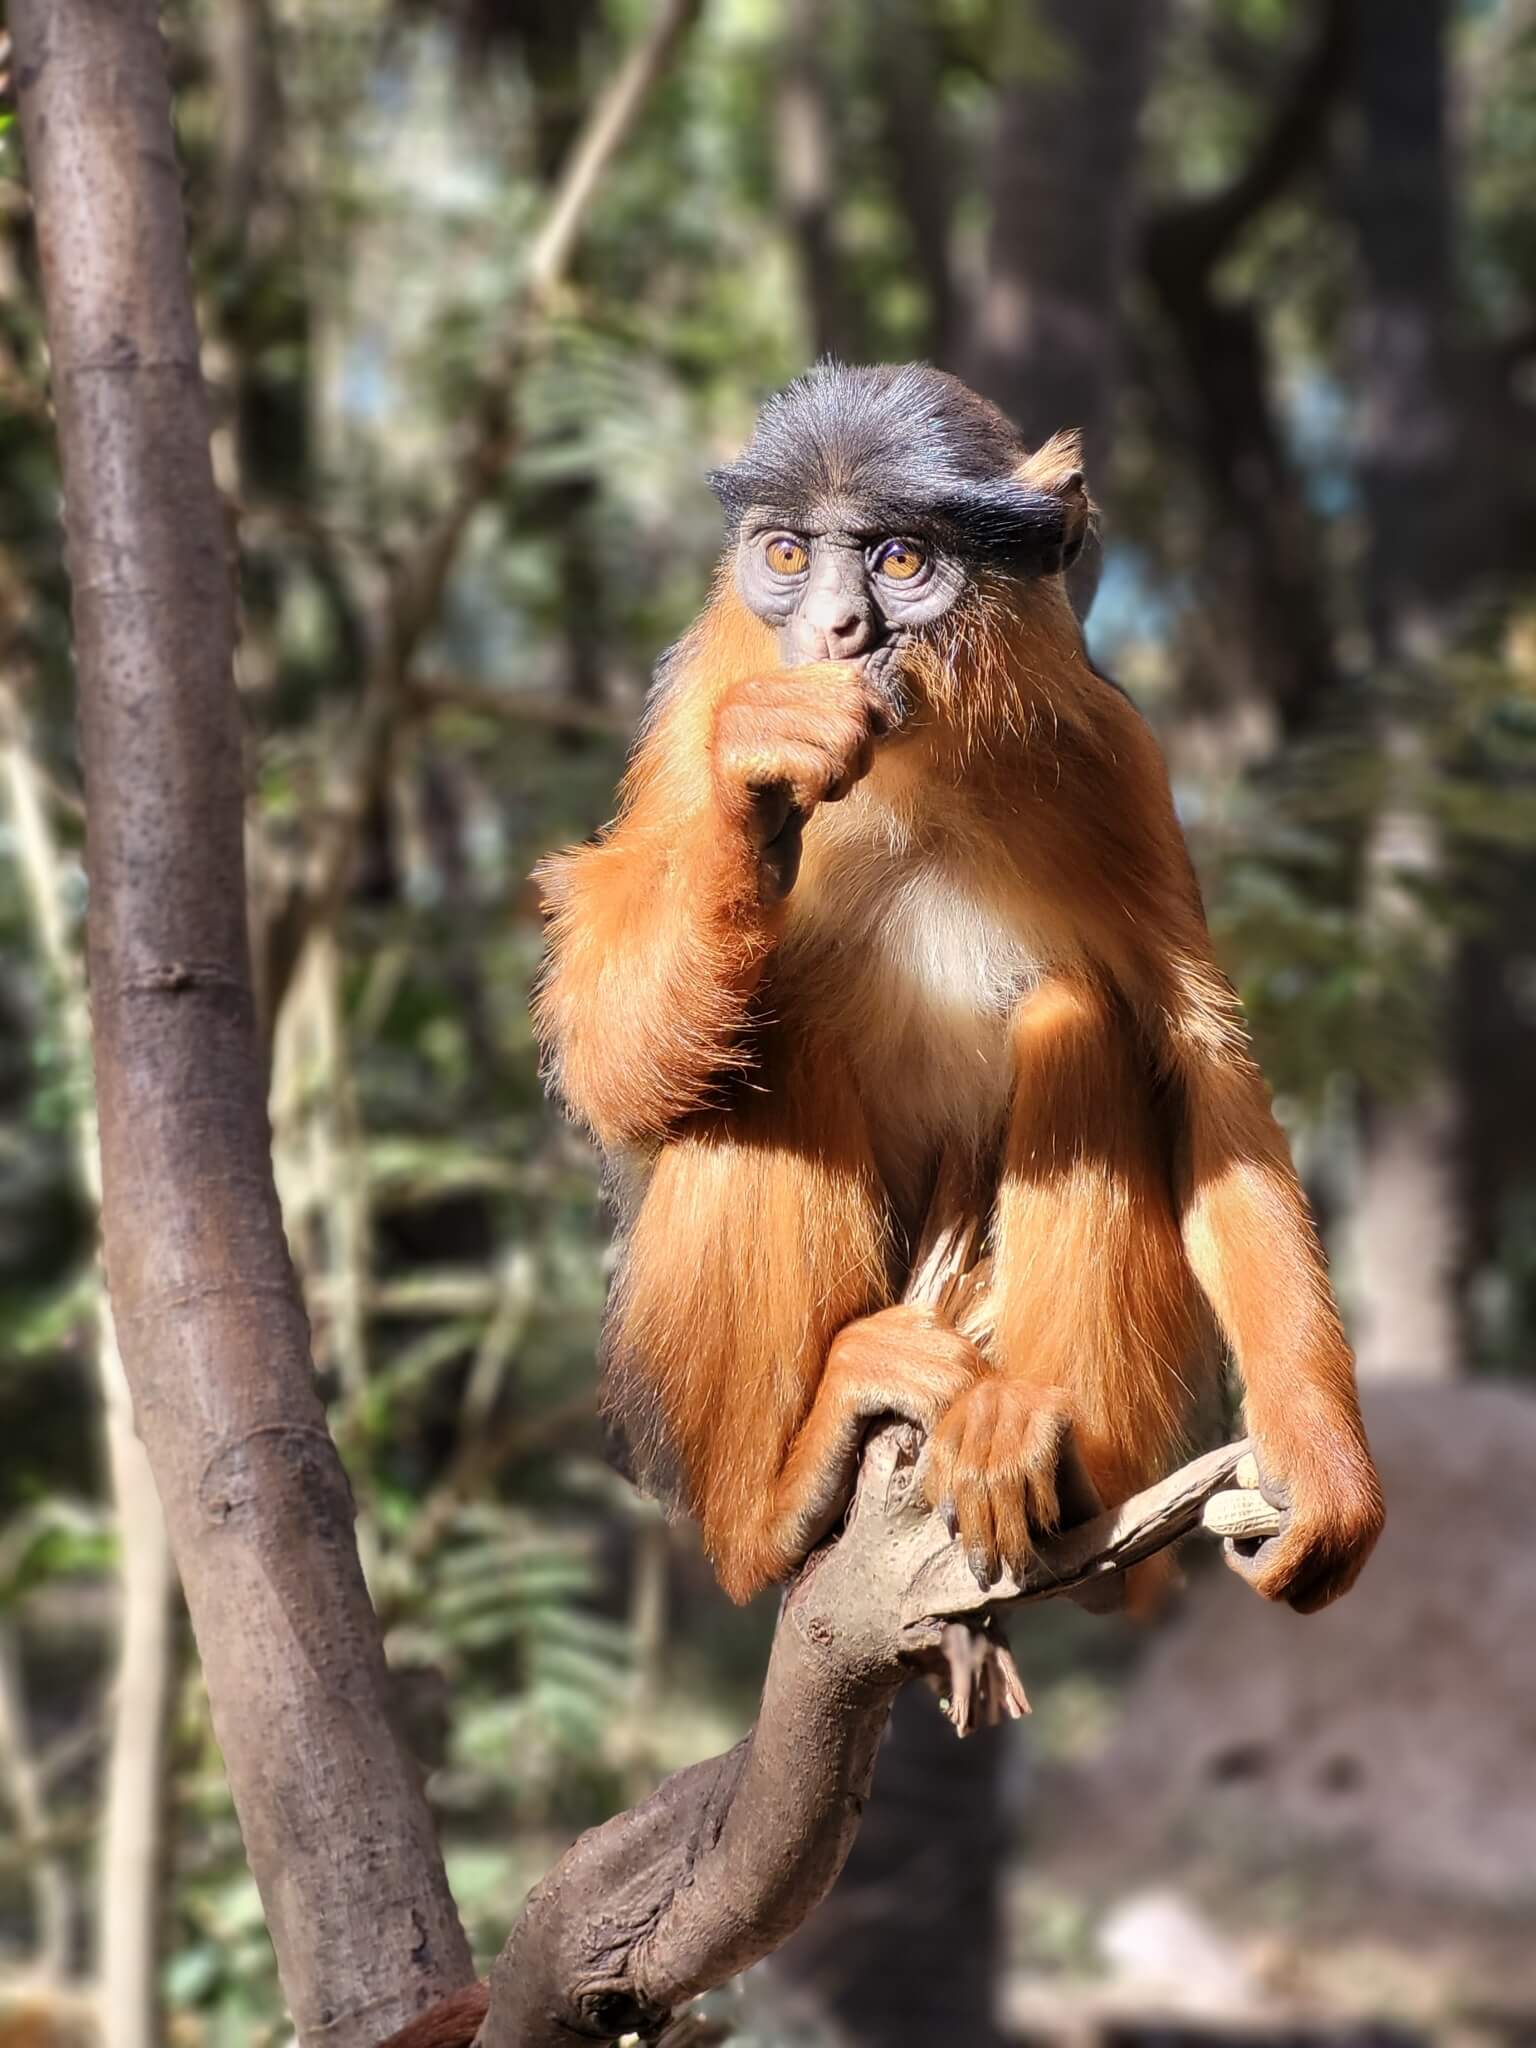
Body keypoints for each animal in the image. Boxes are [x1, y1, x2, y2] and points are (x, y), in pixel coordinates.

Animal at [531, 361, 1383, 1615]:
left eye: (897, 560)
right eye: (786, 555)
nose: (835, 630)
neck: (914, 769)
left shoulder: (1111, 756)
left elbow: (1204, 1069)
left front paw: (1324, 1468)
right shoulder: (703, 693)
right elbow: (613, 1068)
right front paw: (759, 775)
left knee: (1079, 1017)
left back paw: (1043, 1451)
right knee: (767, 1028)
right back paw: (779, 1498)